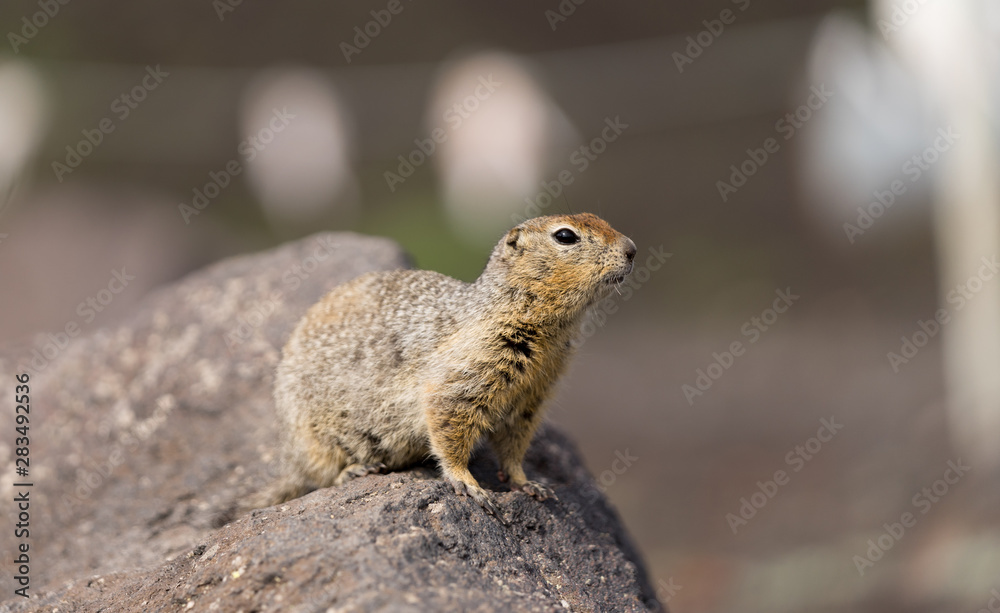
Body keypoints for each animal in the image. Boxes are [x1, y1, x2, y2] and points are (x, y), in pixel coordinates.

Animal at [255, 213, 636, 518]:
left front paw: (527, 482)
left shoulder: (535, 393)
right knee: (317, 474)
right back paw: (354, 471)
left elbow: (515, 441)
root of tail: (288, 458)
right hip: (311, 433)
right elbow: (448, 419)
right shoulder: (469, 368)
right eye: (565, 236)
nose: (632, 248)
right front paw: (469, 484)